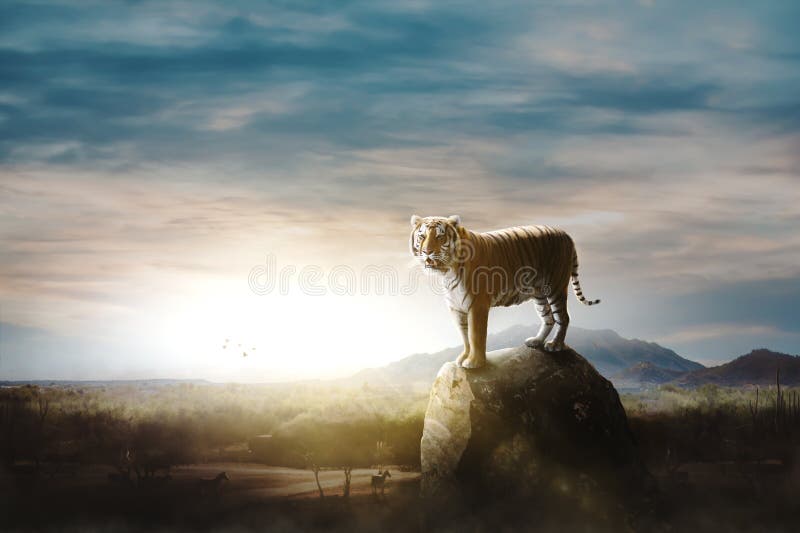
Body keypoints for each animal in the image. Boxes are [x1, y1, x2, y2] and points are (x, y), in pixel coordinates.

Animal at [410, 215, 600, 369]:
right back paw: (536, 341)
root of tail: (566, 234)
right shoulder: (456, 309)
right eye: (422, 236)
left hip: (555, 287)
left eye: (440, 236)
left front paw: (475, 363)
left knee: (563, 317)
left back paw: (555, 345)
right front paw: (463, 358)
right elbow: (464, 336)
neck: (447, 272)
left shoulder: (477, 306)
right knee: (548, 318)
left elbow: (475, 335)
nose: (427, 252)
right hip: (539, 293)